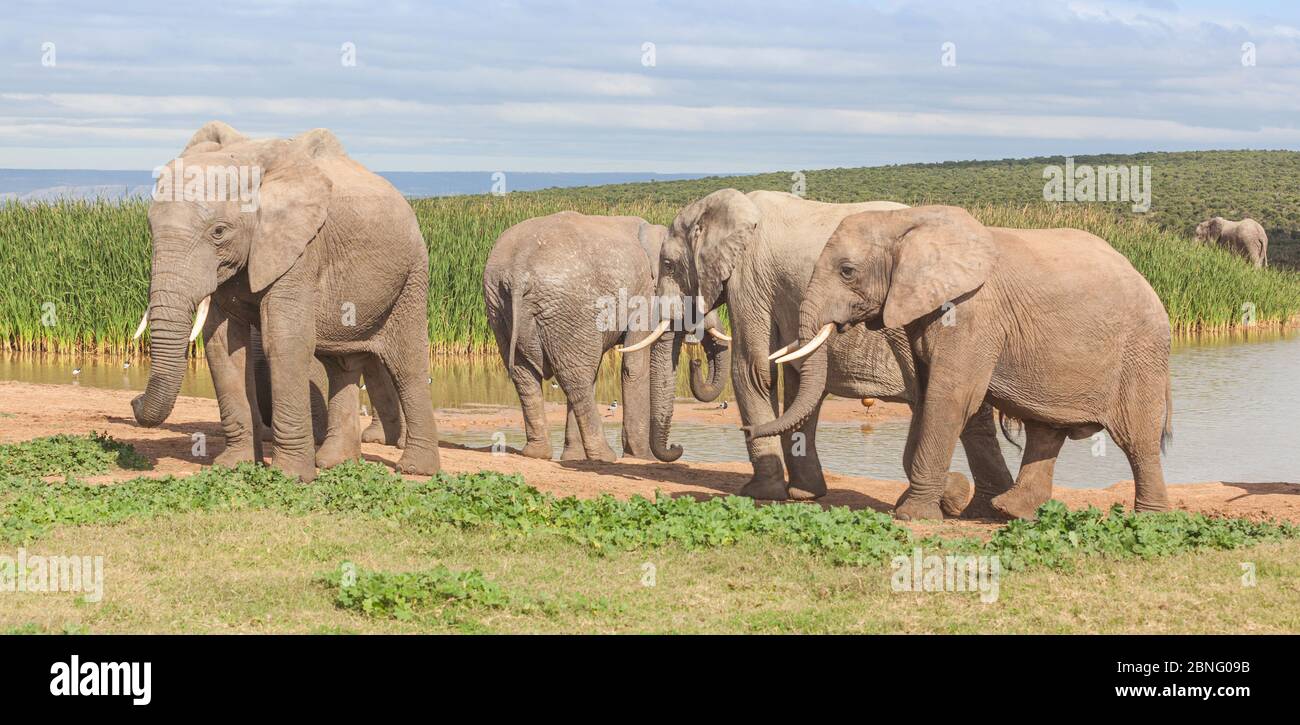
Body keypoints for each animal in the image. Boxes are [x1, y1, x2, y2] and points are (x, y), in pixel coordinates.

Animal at [130, 121, 439, 482]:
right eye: (150, 227)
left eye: (218, 232)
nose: (134, 402)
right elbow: (221, 345)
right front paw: (234, 465)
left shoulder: (300, 248)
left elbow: (285, 340)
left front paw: (290, 476)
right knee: (342, 364)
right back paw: (334, 462)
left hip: (412, 275)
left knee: (407, 364)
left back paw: (415, 468)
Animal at [483, 211, 730, 461]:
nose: (695, 362)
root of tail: (518, 272)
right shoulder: (644, 296)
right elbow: (635, 366)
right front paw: (642, 458)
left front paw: (575, 458)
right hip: (568, 307)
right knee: (577, 378)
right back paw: (604, 456)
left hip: (499, 306)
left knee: (527, 375)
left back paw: (538, 454)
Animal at [637, 189, 1013, 510]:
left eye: (668, 264)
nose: (677, 448)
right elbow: (797, 386)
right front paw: (805, 494)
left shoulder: (751, 280)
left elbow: (753, 370)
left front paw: (759, 493)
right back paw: (972, 498)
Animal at [748, 205, 1173, 521]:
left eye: (847, 271)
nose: (748, 430)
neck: (907, 221)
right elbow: (926, 395)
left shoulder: (971, 313)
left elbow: (949, 398)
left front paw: (912, 515)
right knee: (1045, 430)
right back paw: (1011, 511)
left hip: (1140, 351)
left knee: (1137, 437)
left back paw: (1150, 519)